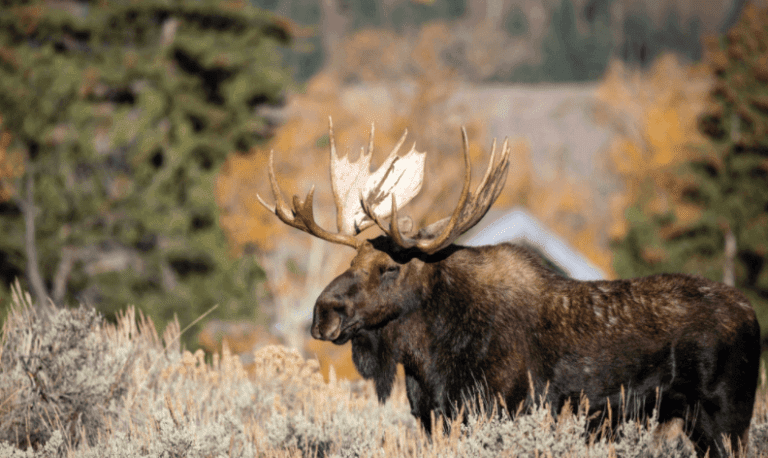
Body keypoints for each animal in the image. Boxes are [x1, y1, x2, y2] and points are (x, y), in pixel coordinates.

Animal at [258, 119, 760, 458]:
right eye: (351, 262)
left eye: (388, 268)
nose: (323, 313)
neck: (428, 359)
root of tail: (753, 314)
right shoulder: (433, 418)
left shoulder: (502, 409)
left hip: (726, 417)